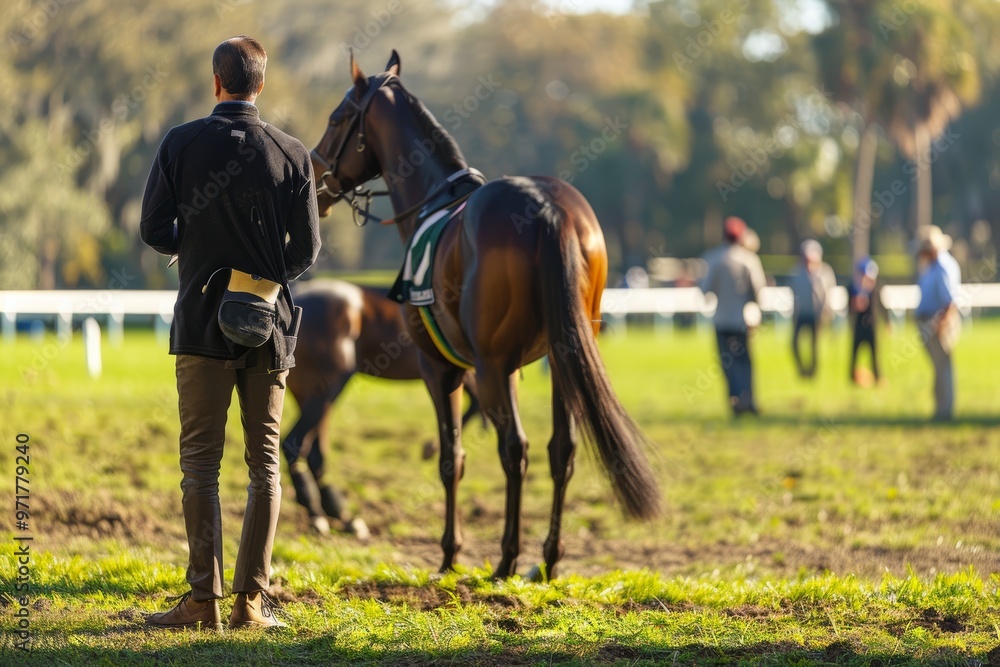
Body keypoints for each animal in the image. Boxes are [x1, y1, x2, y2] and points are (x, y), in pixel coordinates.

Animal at [281, 278, 480, 537]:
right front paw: (431, 448)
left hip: (309, 394)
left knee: (313, 451)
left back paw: (340, 514)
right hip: (328, 388)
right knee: (294, 444)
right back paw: (319, 514)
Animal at [307, 50, 661, 578]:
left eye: (337, 118)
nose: (315, 176)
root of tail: (543, 204)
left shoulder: (442, 369)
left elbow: (451, 457)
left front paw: (449, 553)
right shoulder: (510, 367)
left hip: (490, 368)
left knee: (515, 447)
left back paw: (507, 559)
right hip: (560, 360)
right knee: (561, 449)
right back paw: (547, 560)